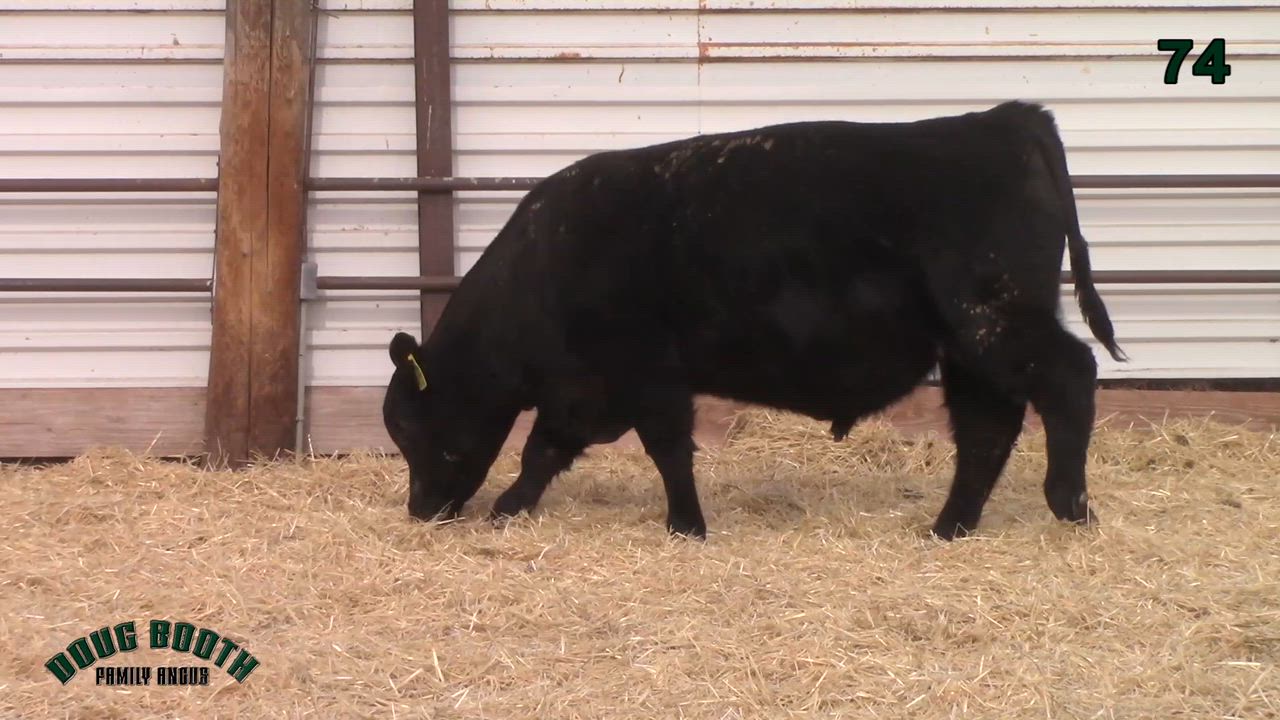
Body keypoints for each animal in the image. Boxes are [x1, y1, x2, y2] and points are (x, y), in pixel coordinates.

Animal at [382, 101, 1125, 541]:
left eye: (412, 430)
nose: (420, 508)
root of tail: (1002, 117)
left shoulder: (635, 377)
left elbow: (647, 451)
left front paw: (684, 525)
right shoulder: (601, 390)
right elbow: (554, 450)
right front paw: (513, 509)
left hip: (993, 319)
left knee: (1069, 375)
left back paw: (1070, 502)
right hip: (970, 347)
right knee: (987, 429)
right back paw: (950, 526)